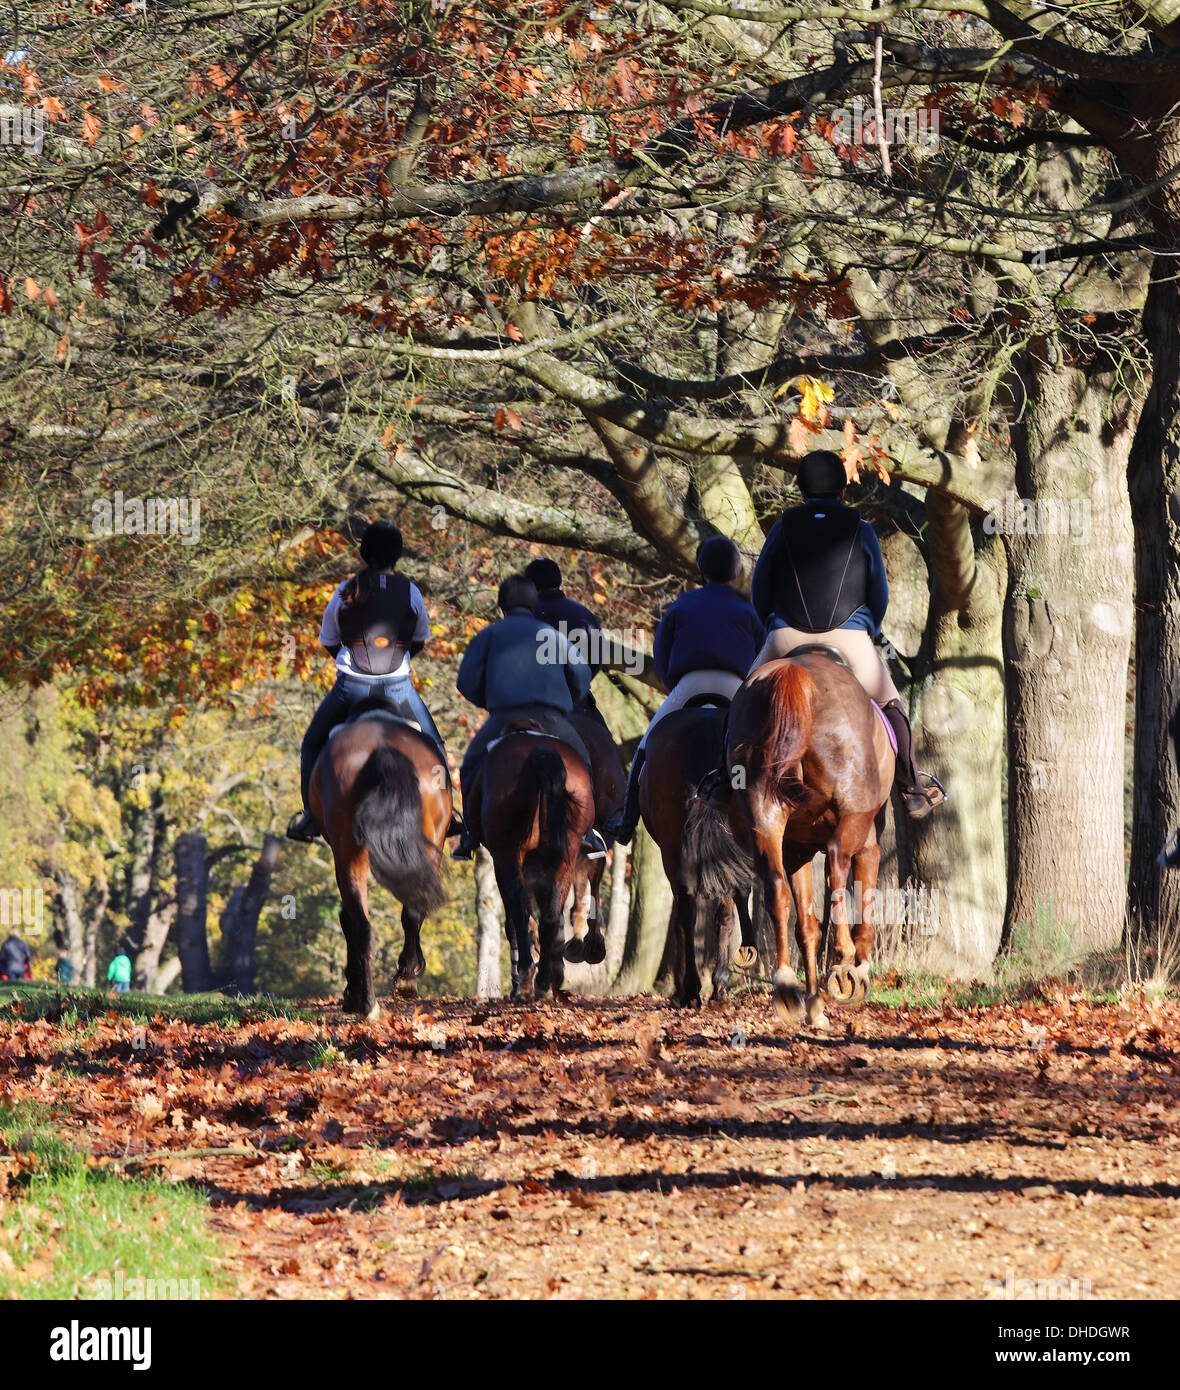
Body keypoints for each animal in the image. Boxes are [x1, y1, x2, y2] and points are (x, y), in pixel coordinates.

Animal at [310, 701, 451, 1020]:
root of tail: (382, 746)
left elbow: (347, 920)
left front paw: (351, 991)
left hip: (348, 852)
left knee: (361, 923)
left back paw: (366, 1002)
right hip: (430, 844)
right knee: (410, 912)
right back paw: (400, 985)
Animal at [473, 724, 597, 1001]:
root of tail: (540, 752)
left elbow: (518, 921)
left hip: (507, 856)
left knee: (520, 913)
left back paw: (525, 982)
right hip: (566, 855)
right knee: (550, 916)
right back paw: (543, 983)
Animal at [685, 652, 893, 1029]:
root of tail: (793, 671)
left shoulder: (797, 852)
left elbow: (806, 927)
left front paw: (814, 1005)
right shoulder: (868, 844)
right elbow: (861, 905)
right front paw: (856, 969)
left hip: (764, 819)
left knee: (776, 892)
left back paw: (784, 987)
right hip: (853, 819)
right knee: (838, 862)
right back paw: (843, 960)